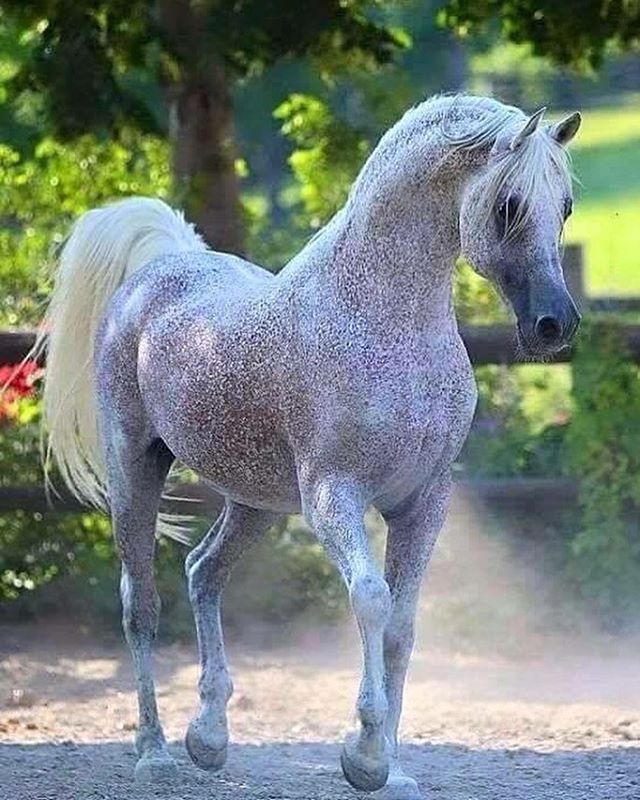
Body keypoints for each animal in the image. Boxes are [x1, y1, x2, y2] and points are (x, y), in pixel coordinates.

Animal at [35, 93, 581, 798]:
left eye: (564, 205)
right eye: (509, 205)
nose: (554, 325)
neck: (382, 318)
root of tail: (161, 268)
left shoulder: (424, 503)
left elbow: (403, 627)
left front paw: (392, 768)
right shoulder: (333, 497)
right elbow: (371, 599)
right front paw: (364, 756)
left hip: (255, 502)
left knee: (203, 572)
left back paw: (209, 738)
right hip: (136, 469)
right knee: (141, 605)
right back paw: (154, 754)